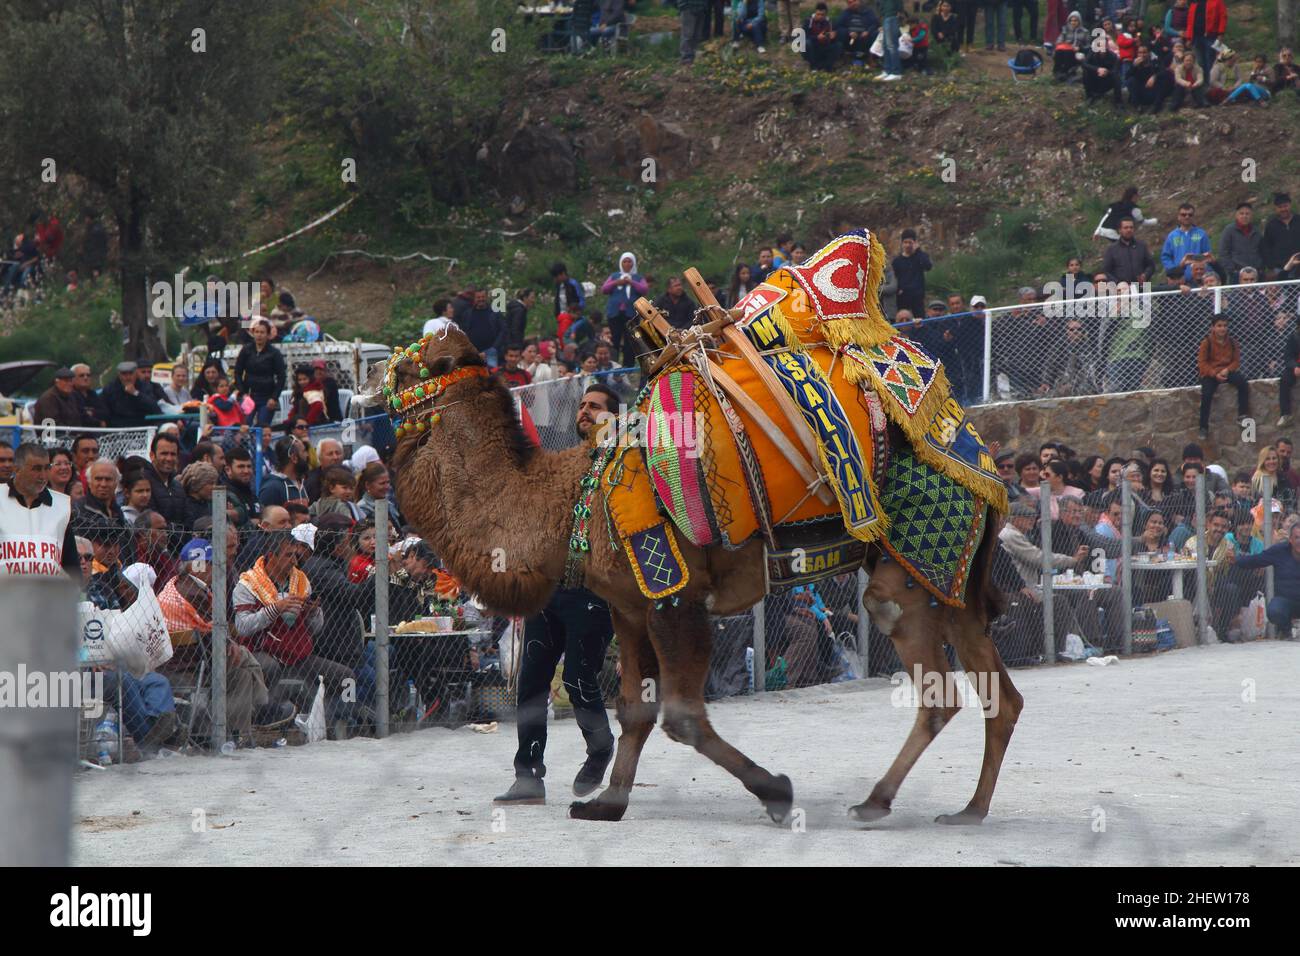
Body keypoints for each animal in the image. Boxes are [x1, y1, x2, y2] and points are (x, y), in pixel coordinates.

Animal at [370, 325, 1023, 826]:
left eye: (412, 362)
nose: (370, 378)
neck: (568, 503)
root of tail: (976, 449)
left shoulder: (674, 595)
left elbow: (682, 716)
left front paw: (777, 792)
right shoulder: (629, 606)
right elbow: (633, 709)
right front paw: (606, 802)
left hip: (913, 563)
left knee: (937, 687)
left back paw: (877, 802)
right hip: (951, 573)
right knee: (1001, 695)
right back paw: (970, 810)